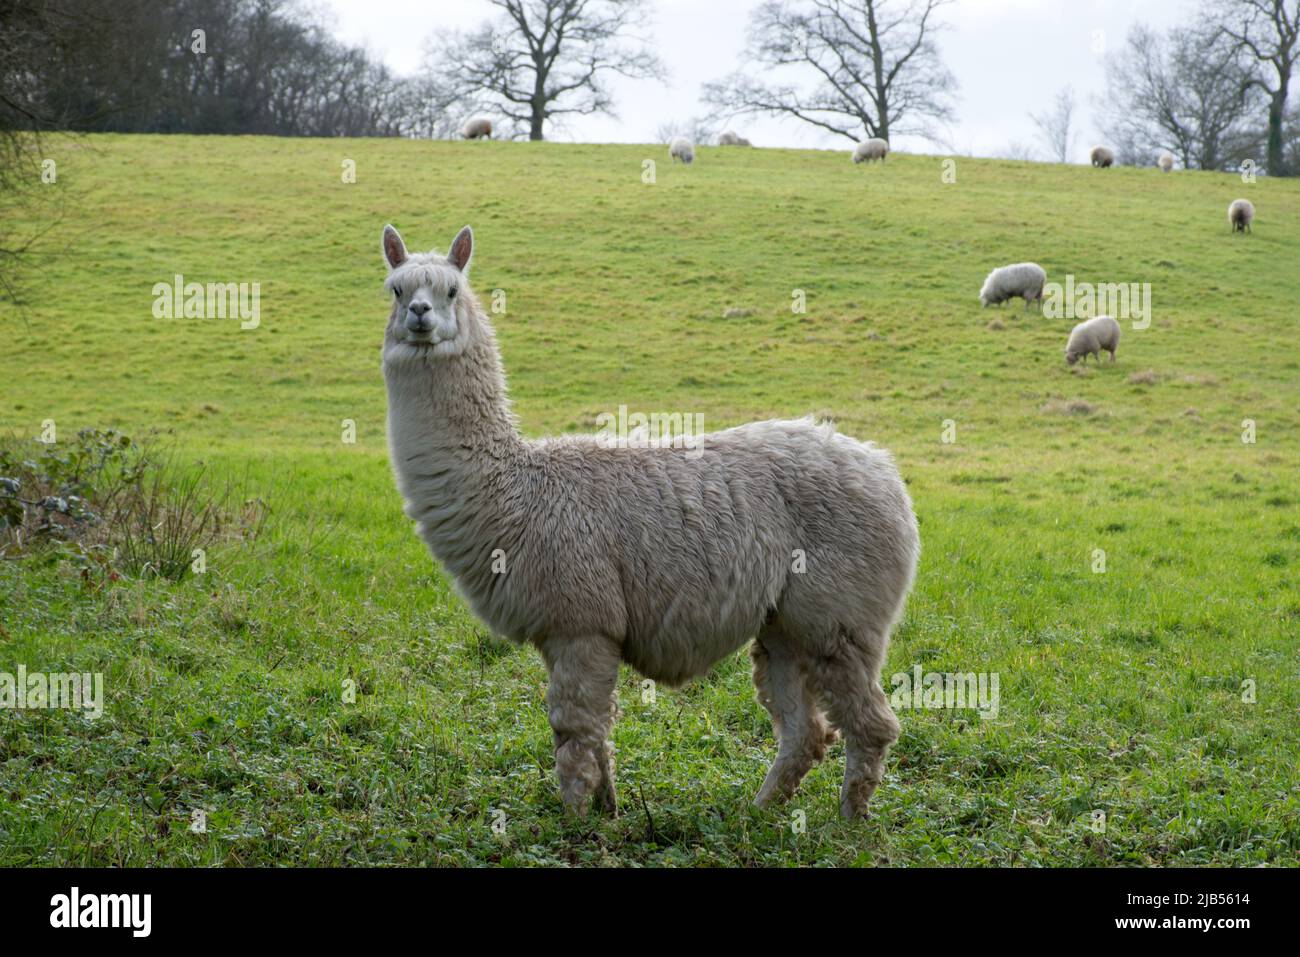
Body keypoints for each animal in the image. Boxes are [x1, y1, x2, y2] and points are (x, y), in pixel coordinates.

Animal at [379, 223, 920, 821]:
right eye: (396, 290)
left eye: (451, 290)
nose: (420, 315)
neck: (517, 489)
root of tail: (886, 471)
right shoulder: (566, 628)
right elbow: (596, 734)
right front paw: (608, 808)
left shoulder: (583, 622)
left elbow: (573, 731)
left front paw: (574, 822)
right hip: (786, 624)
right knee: (805, 730)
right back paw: (758, 813)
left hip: (840, 614)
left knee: (870, 723)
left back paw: (848, 821)